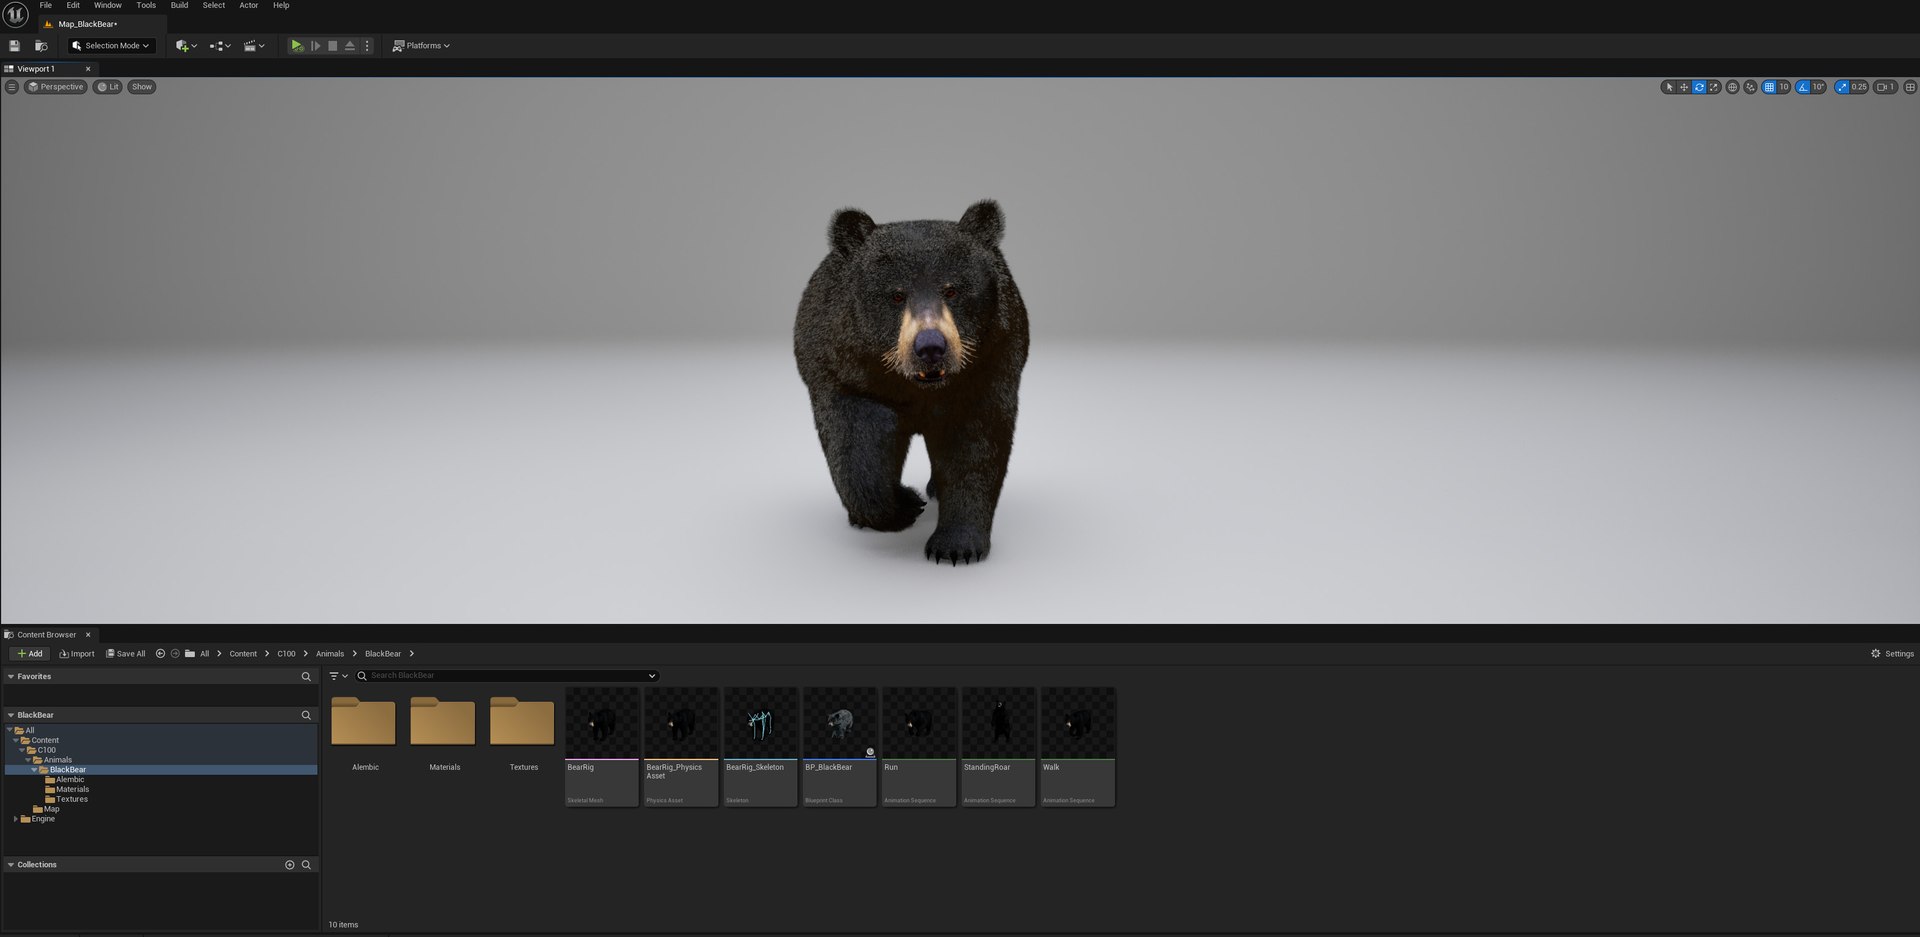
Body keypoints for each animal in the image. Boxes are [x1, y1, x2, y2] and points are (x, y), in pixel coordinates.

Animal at [793, 200, 1030, 565]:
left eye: (952, 290)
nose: (930, 346)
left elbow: (975, 443)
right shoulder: (843, 368)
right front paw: (903, 503)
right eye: (896, 296)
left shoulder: (992, 361)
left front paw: (956, 546)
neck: (917, 388)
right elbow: (857, 444)